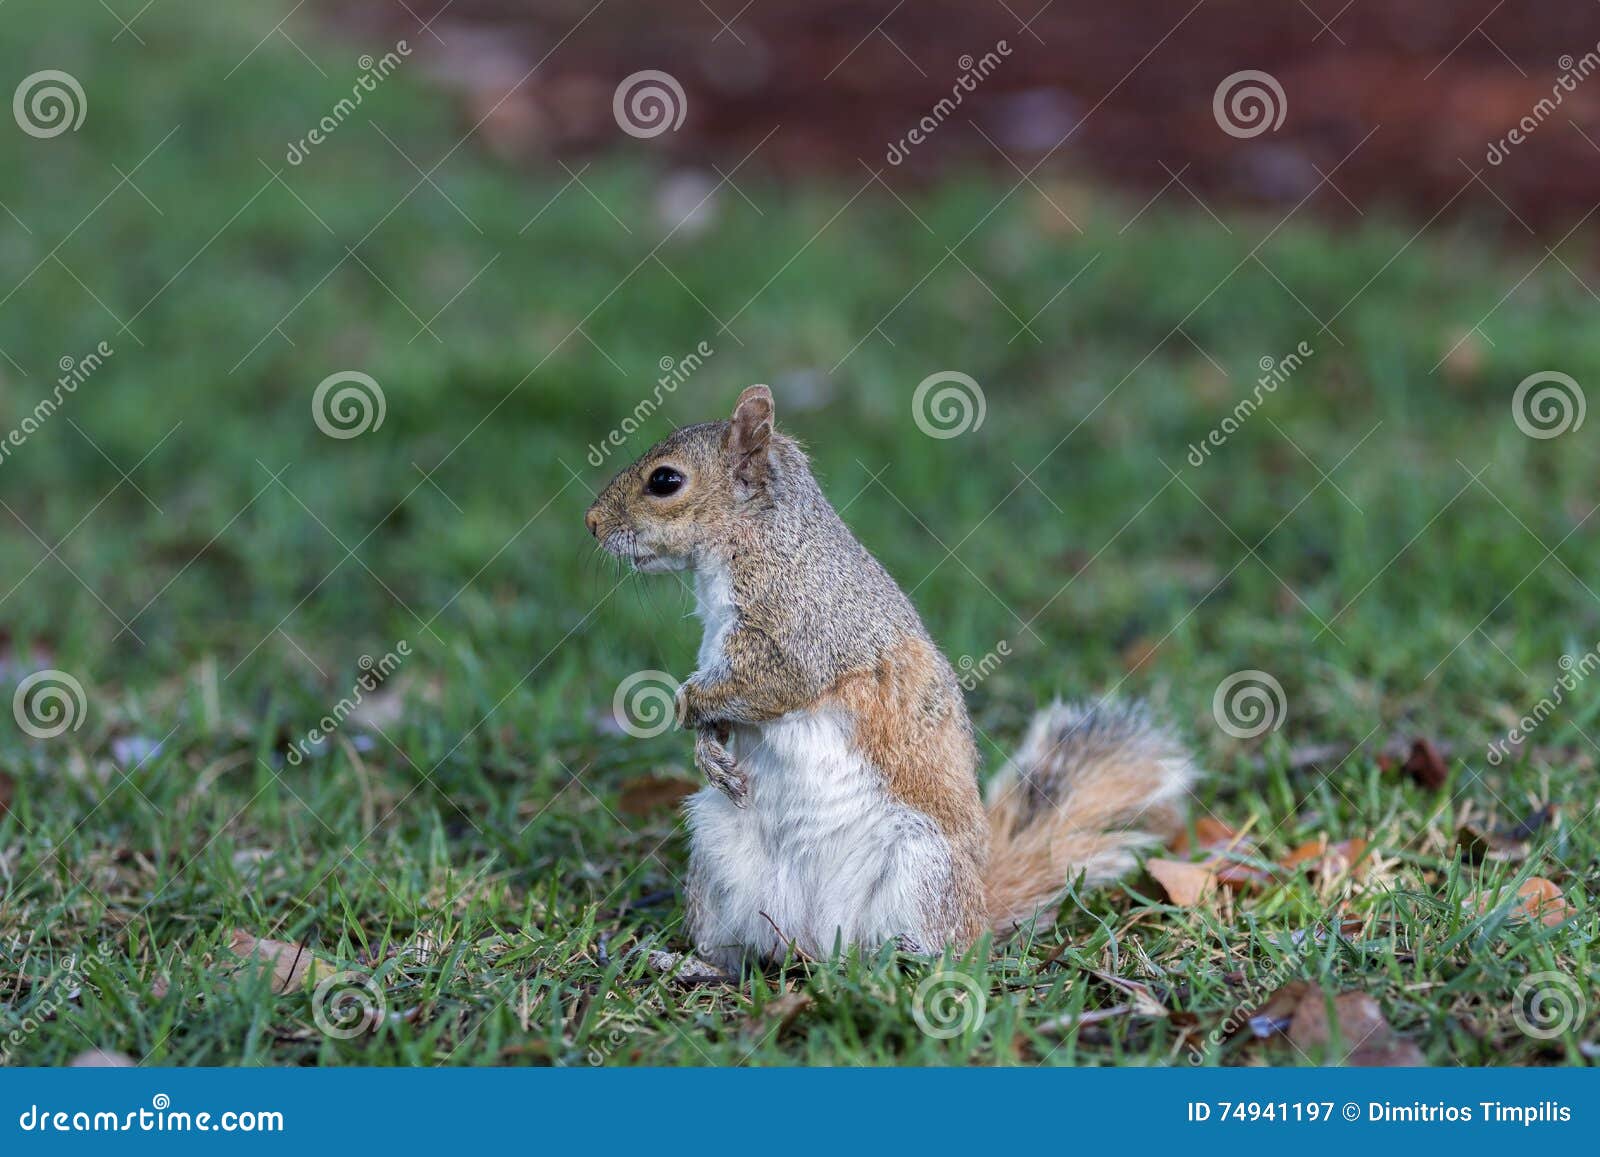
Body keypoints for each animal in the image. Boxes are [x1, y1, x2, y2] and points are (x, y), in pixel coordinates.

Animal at [585, 385, 1197, 972]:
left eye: (665, 480)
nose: (591, 524)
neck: (755, 541)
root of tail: (818, 941)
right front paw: (708, 748)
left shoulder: (808, 629)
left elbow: (770, 684)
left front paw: (685, 707)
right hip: (718, 862)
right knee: (742, 954)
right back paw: (688, 963)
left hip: (922, 871)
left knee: (938, 947)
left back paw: (904, 957)